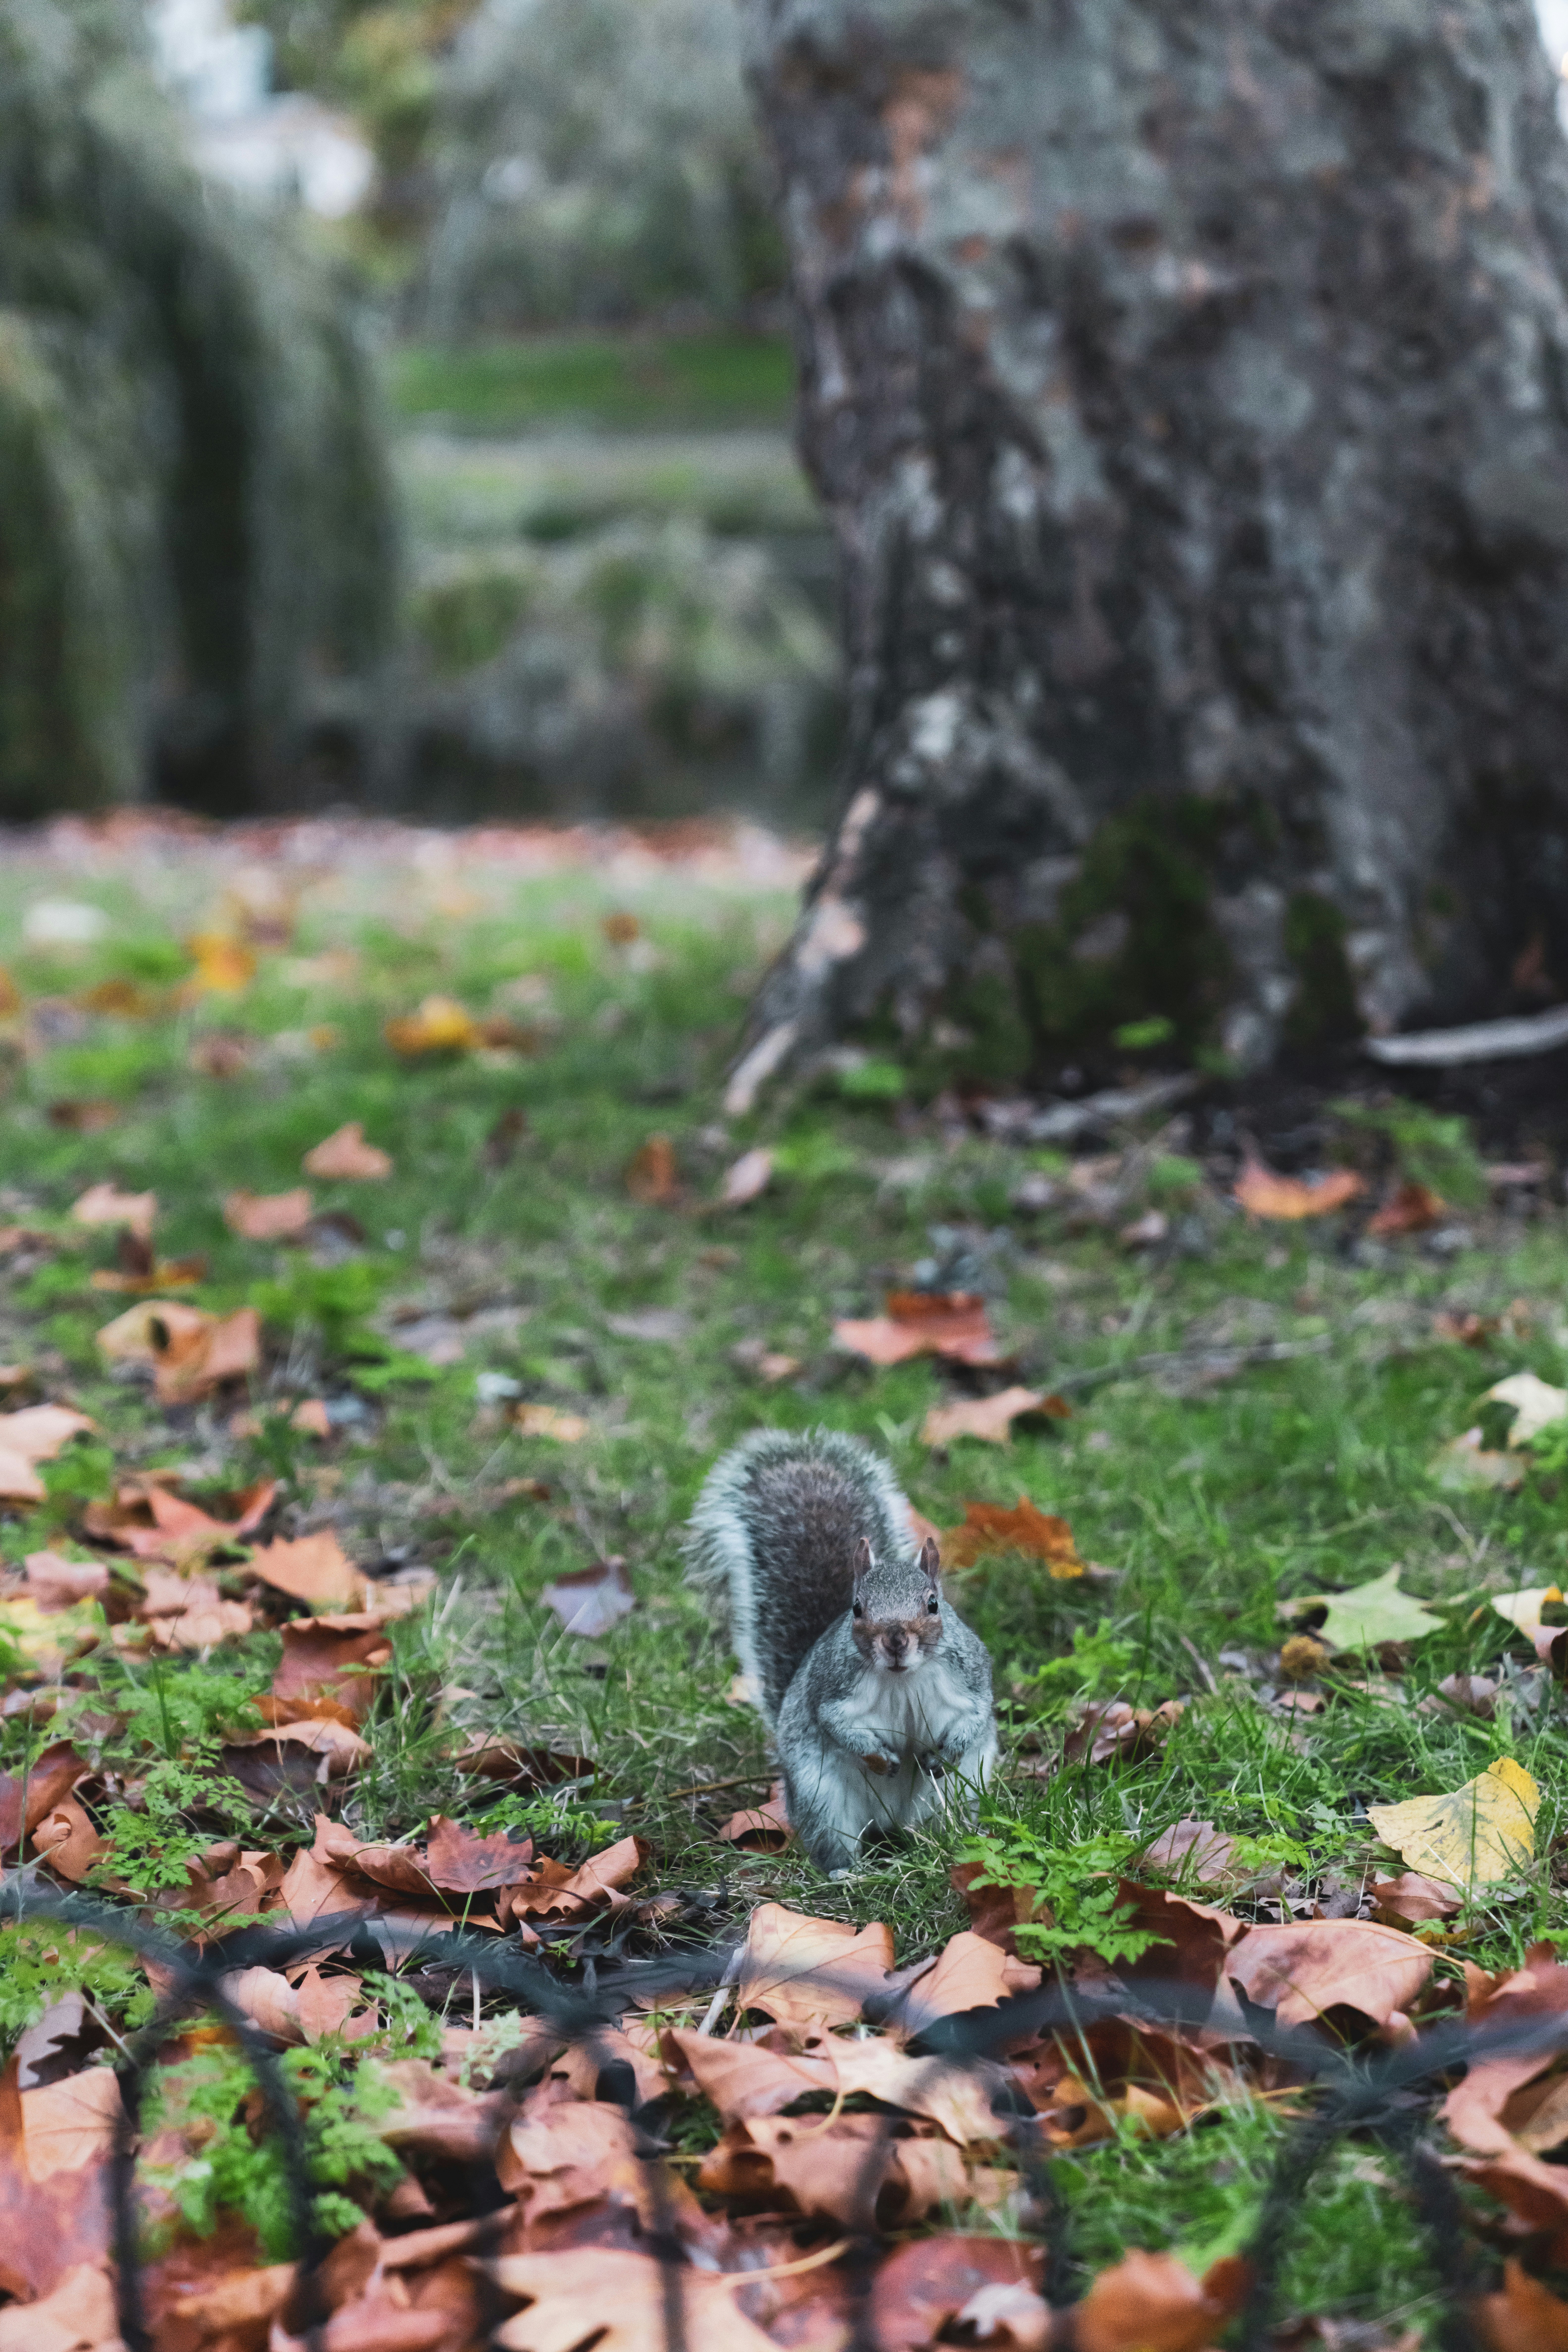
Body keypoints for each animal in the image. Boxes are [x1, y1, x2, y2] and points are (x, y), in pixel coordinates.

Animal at [686, 1428, 998, 1876]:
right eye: (858, 1608)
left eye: (933, 1603)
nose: (896, 1641)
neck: (902, 1677)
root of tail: (890, 1818)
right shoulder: (832, 1688)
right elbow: (836, 1723)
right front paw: (879, 1757)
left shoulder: (969, 1675)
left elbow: (976, 1713)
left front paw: (948, 1750)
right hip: (822, 1796)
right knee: (833, 1839)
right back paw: (846, 1873)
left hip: (953, 1794)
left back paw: (943, 1848)